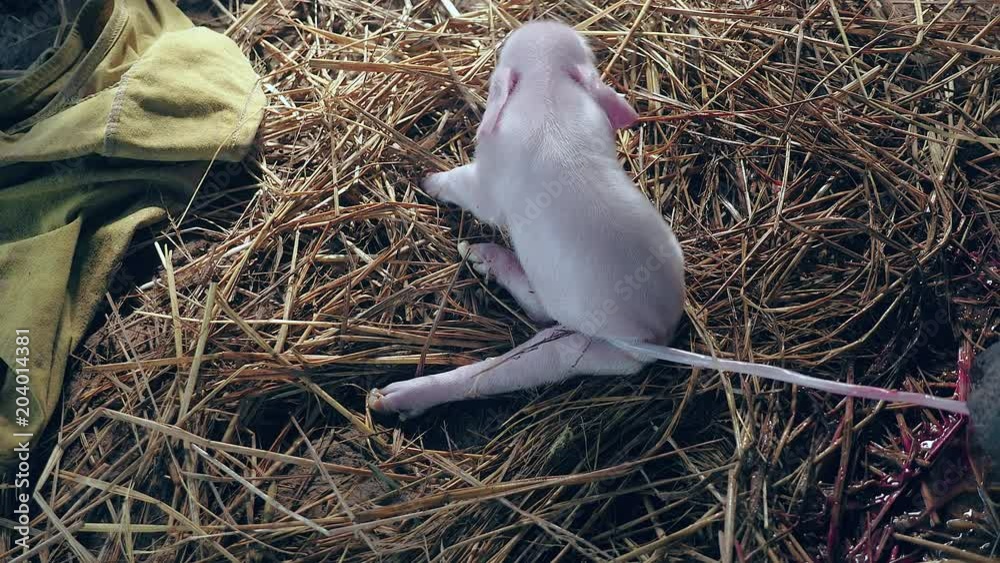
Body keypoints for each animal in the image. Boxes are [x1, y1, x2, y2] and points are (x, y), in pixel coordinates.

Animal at [367, 20, 686, 418]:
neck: (547, 87)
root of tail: (659, 331)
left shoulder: (489, 176)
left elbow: (472, 191)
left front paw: (427, 180)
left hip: (593, 348)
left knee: (535, 345)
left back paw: (387, 397)